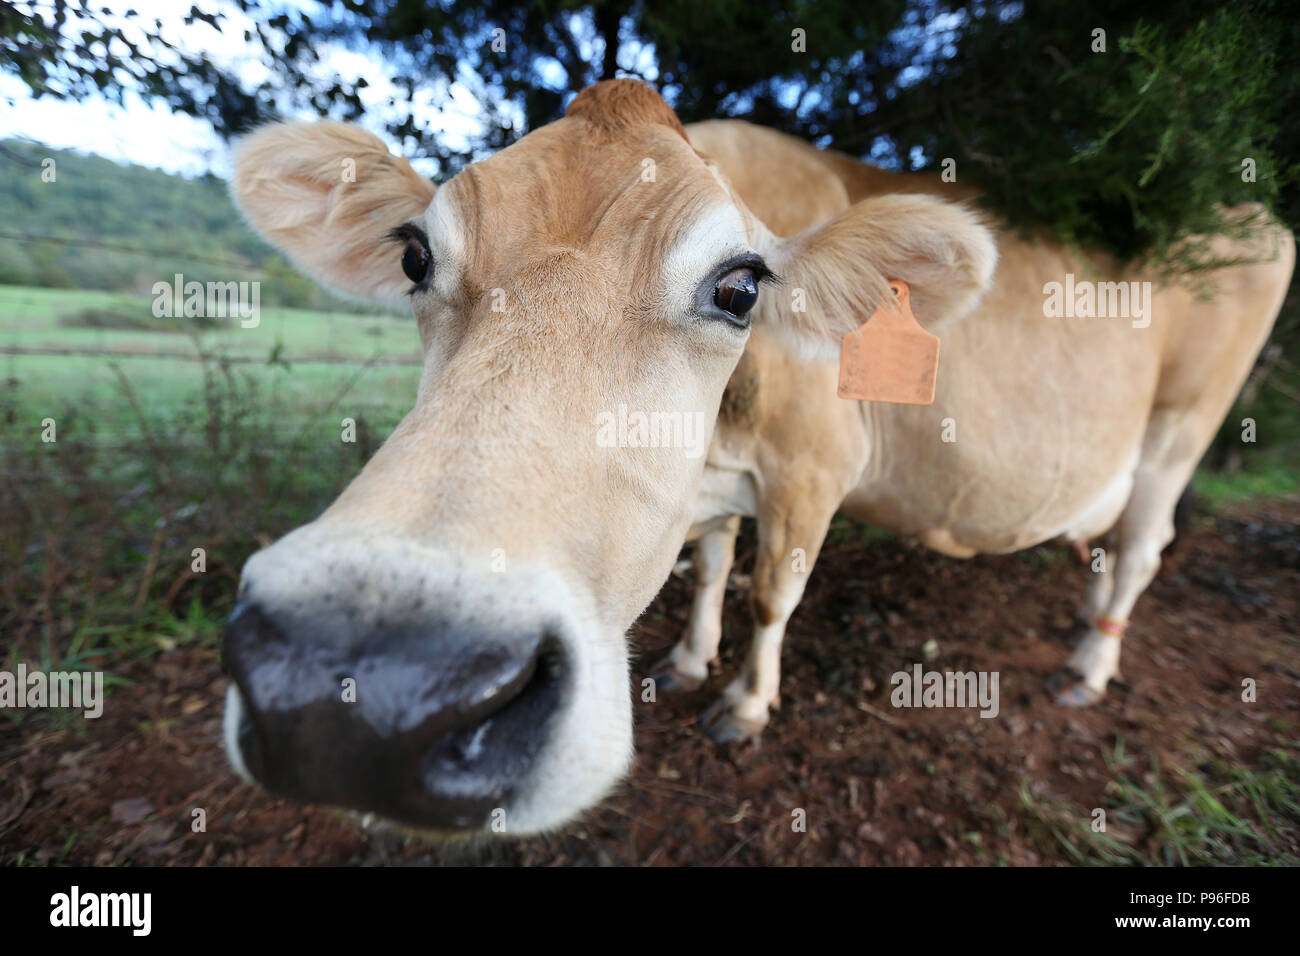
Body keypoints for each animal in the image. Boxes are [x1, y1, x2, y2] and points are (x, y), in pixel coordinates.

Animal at [222, 79, 1293, 836]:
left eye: (740, 288)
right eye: (414, 257)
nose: (360, 696)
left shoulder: (815, 471)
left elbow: (773, 591)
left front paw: (744, 702)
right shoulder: (719, 489)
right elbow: (710, 564)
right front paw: (691, 659)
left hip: (1182, 429)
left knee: (1145, 543)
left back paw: (1087, 665)